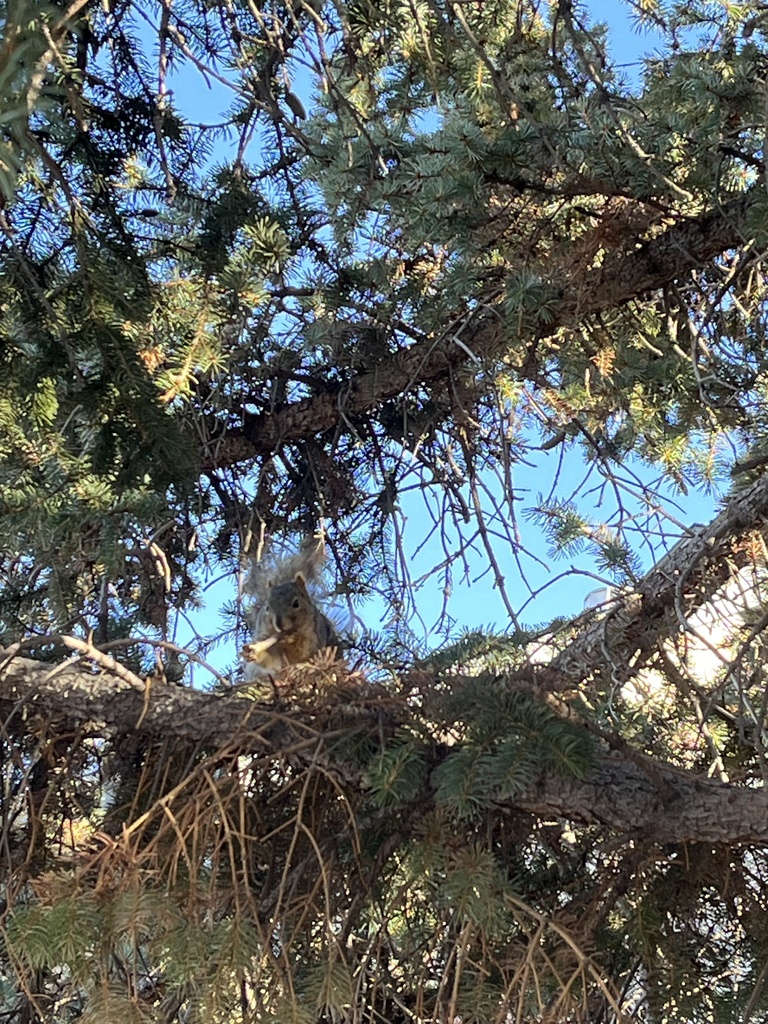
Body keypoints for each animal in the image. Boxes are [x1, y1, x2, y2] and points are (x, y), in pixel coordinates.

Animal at [241, 537, 340, 677]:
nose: (279, 624)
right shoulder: (265, 633)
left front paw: (292, 639)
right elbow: (267, 659)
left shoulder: (314, 637)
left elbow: (302, 650)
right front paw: (253, 651)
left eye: (296, 604)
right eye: (267, 607)